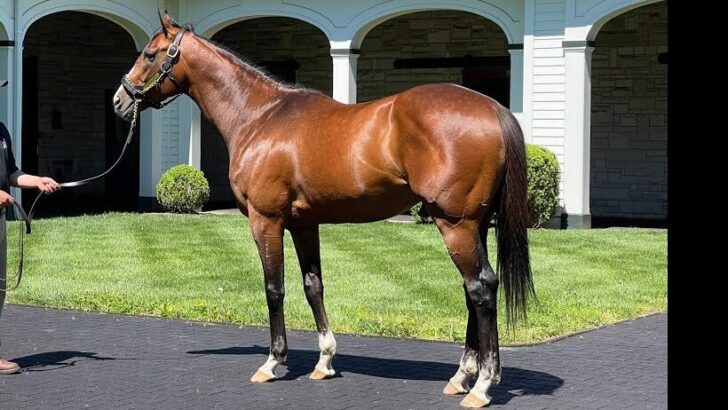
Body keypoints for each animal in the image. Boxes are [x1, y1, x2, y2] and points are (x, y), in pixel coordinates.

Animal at [113, 12, 534, 408]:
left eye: (149, 54)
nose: (120, 99)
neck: (260, 116)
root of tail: (494, 109)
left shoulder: (266, 221)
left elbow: (274, 289)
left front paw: (273, 362)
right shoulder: (304, 224)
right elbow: (313, 286)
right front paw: (325, 361)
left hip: (455, 223)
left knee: (480, 288)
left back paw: (481, 385)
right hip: (475, 224)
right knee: (474, 289)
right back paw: (461, 376)